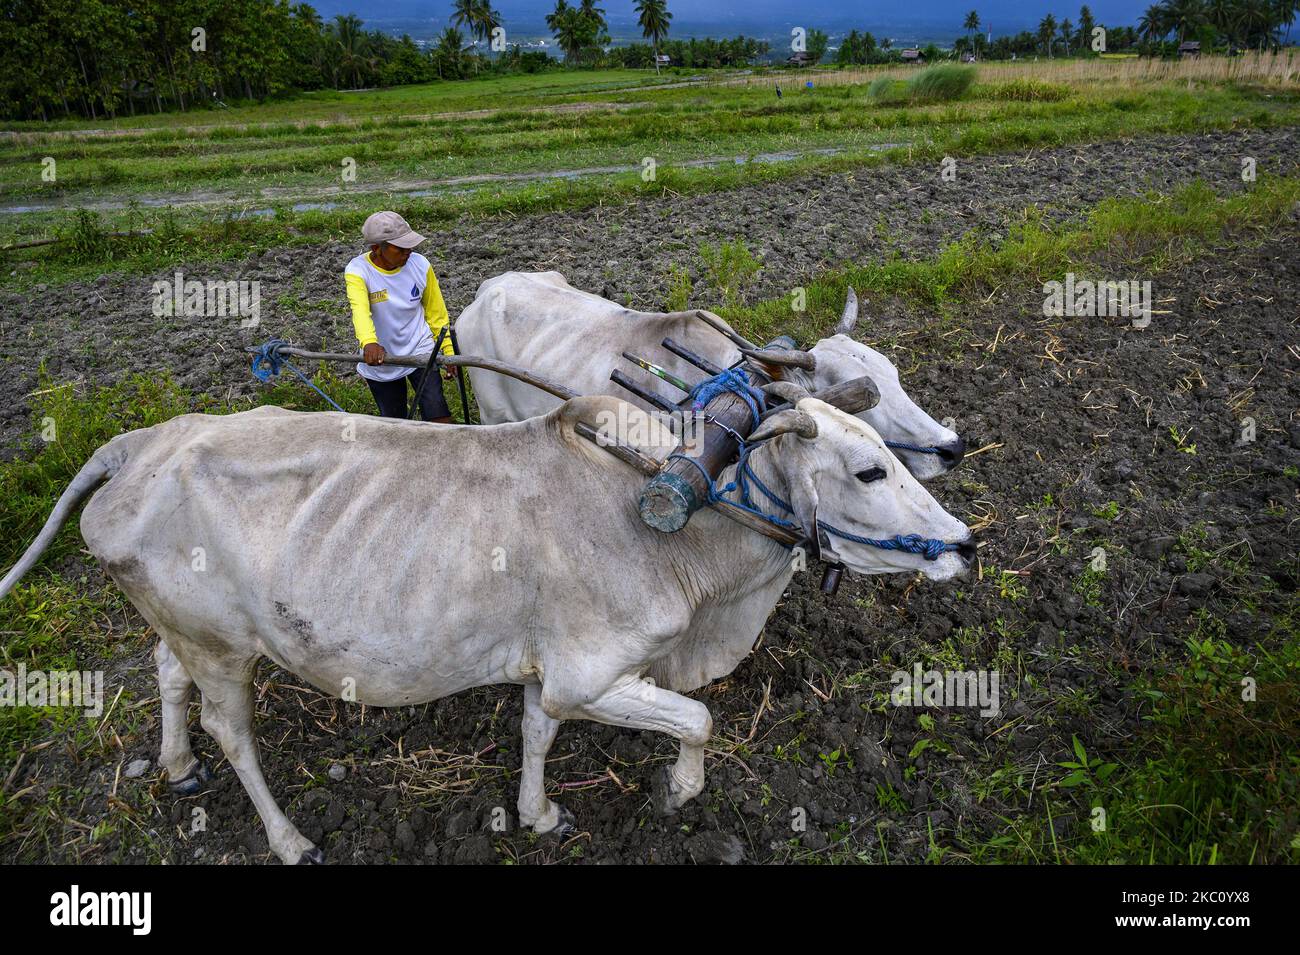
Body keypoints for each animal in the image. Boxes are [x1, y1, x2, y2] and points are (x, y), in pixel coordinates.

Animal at [0, 394, 971, 864]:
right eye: (869, 468)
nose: (963, 542)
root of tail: (139, 442)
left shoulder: (554, 672)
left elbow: (537, 732)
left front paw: (538, 813)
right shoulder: (594, 672)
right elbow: (698, 720)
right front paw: (679, 791)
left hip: (196, 634)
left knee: (166, 677)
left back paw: (177, 767)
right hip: (223, 649)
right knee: (230, 729)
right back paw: (288, 838)